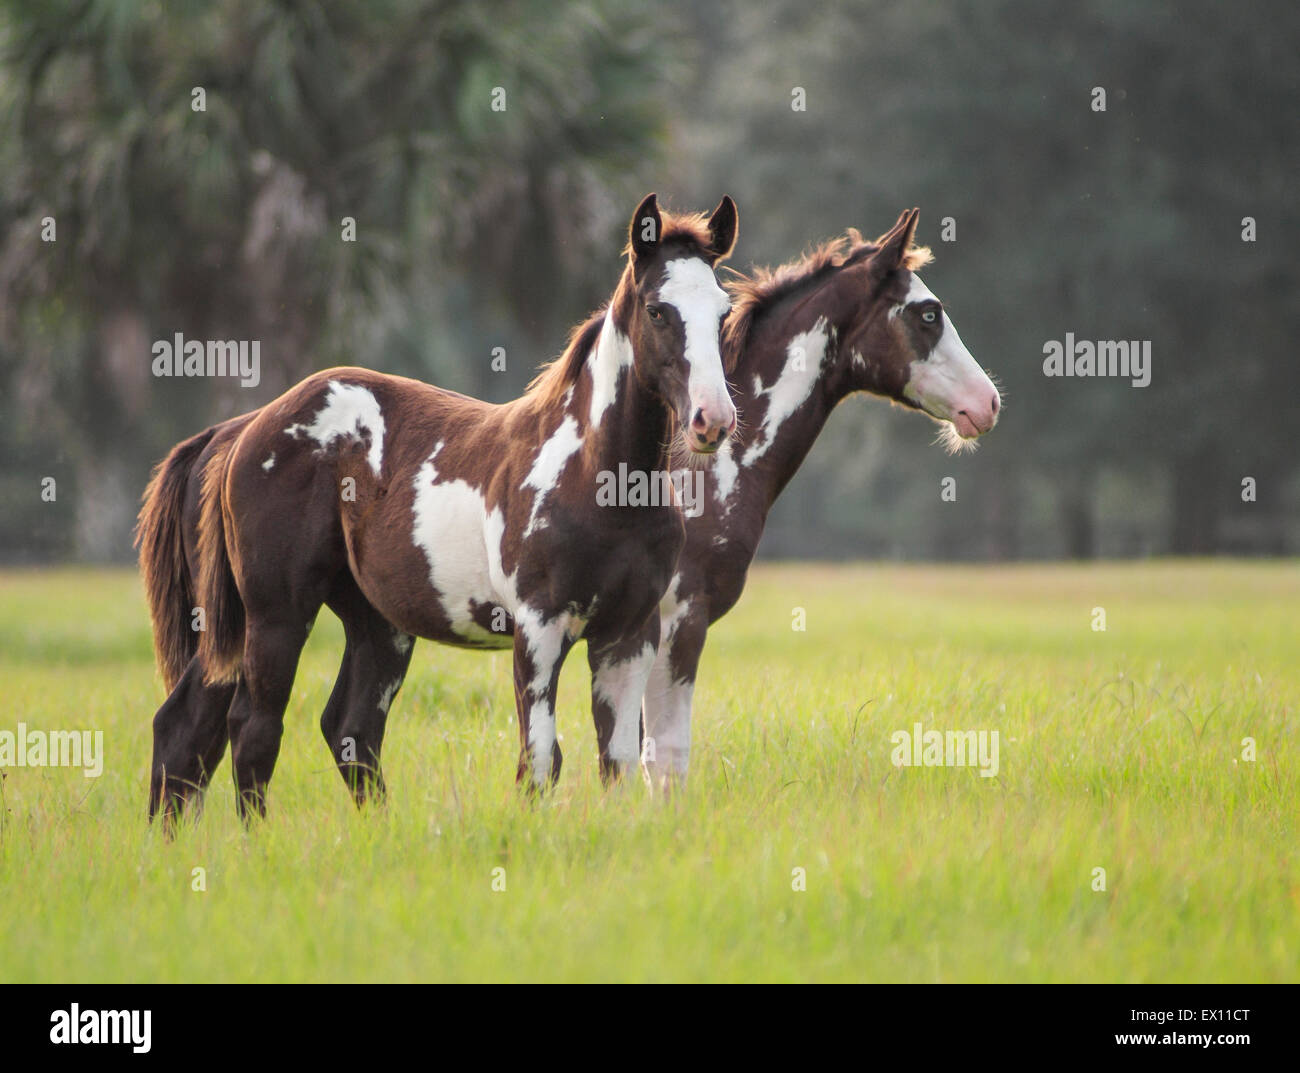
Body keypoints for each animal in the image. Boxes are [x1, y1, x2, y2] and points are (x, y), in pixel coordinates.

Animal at [136, 192, 740, 826]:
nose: (713, 421)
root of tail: (244, 428)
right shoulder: (538, 627)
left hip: (370, 623)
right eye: (657, 311)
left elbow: (617, 763)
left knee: (307, 727)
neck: (598, 482)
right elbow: (540, 762)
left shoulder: (629, 634)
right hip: (273, 614)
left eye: (723, 312)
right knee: (252, 727)